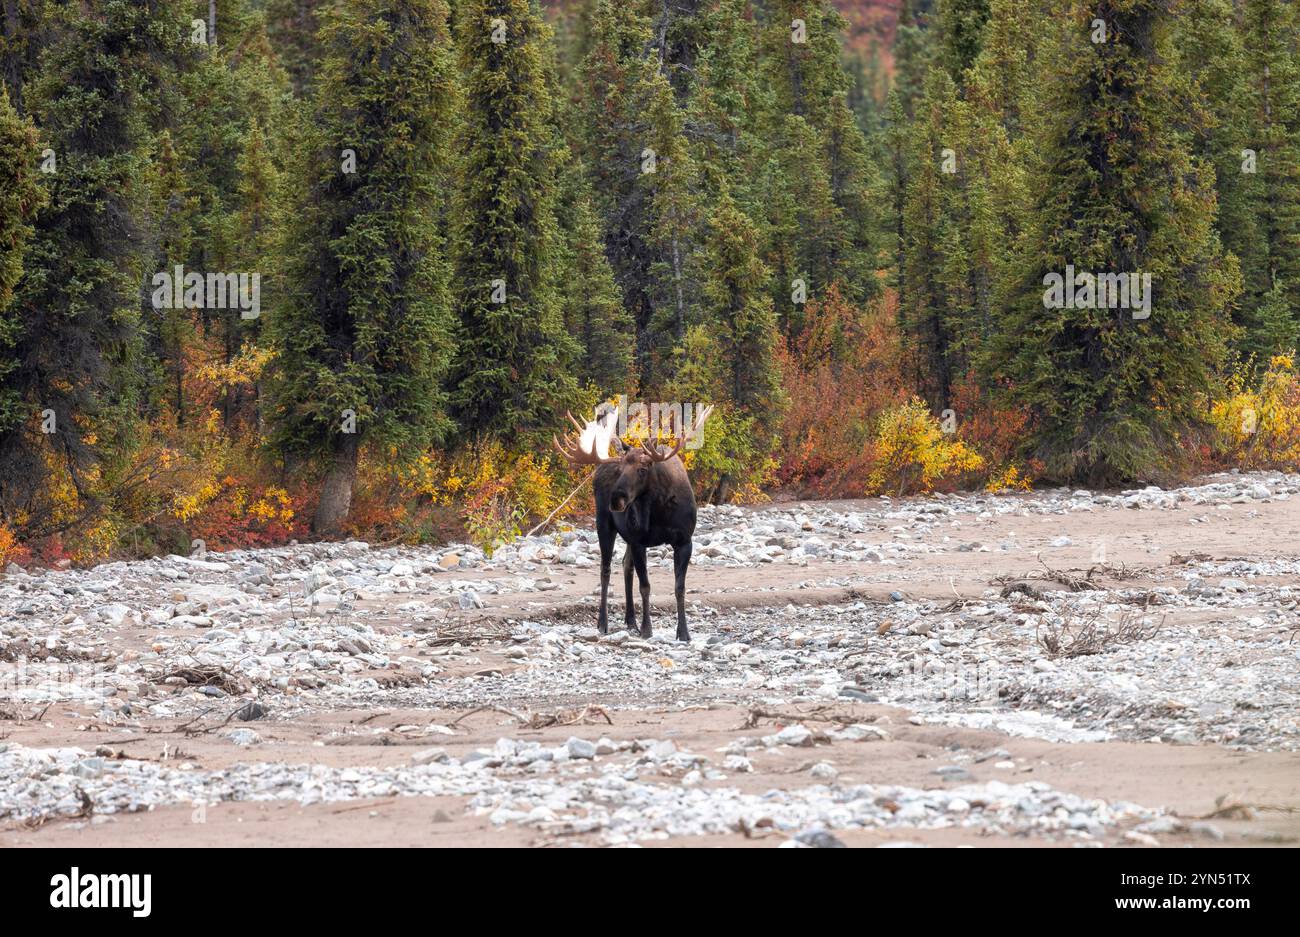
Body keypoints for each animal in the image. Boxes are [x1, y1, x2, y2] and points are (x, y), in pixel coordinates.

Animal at [554, 405, 714, 642]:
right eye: (620, 470)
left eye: (642, 469)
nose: (616, 499)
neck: (659, 510)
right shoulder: (640, 541)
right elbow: (645, 586)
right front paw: (648, 629)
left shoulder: (684, 541)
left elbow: (679, 587)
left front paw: (684, 633)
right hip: (604, 524)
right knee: (606, 570)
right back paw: (603, 623)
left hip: (627, 535)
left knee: (625, 565)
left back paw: (630, 620)